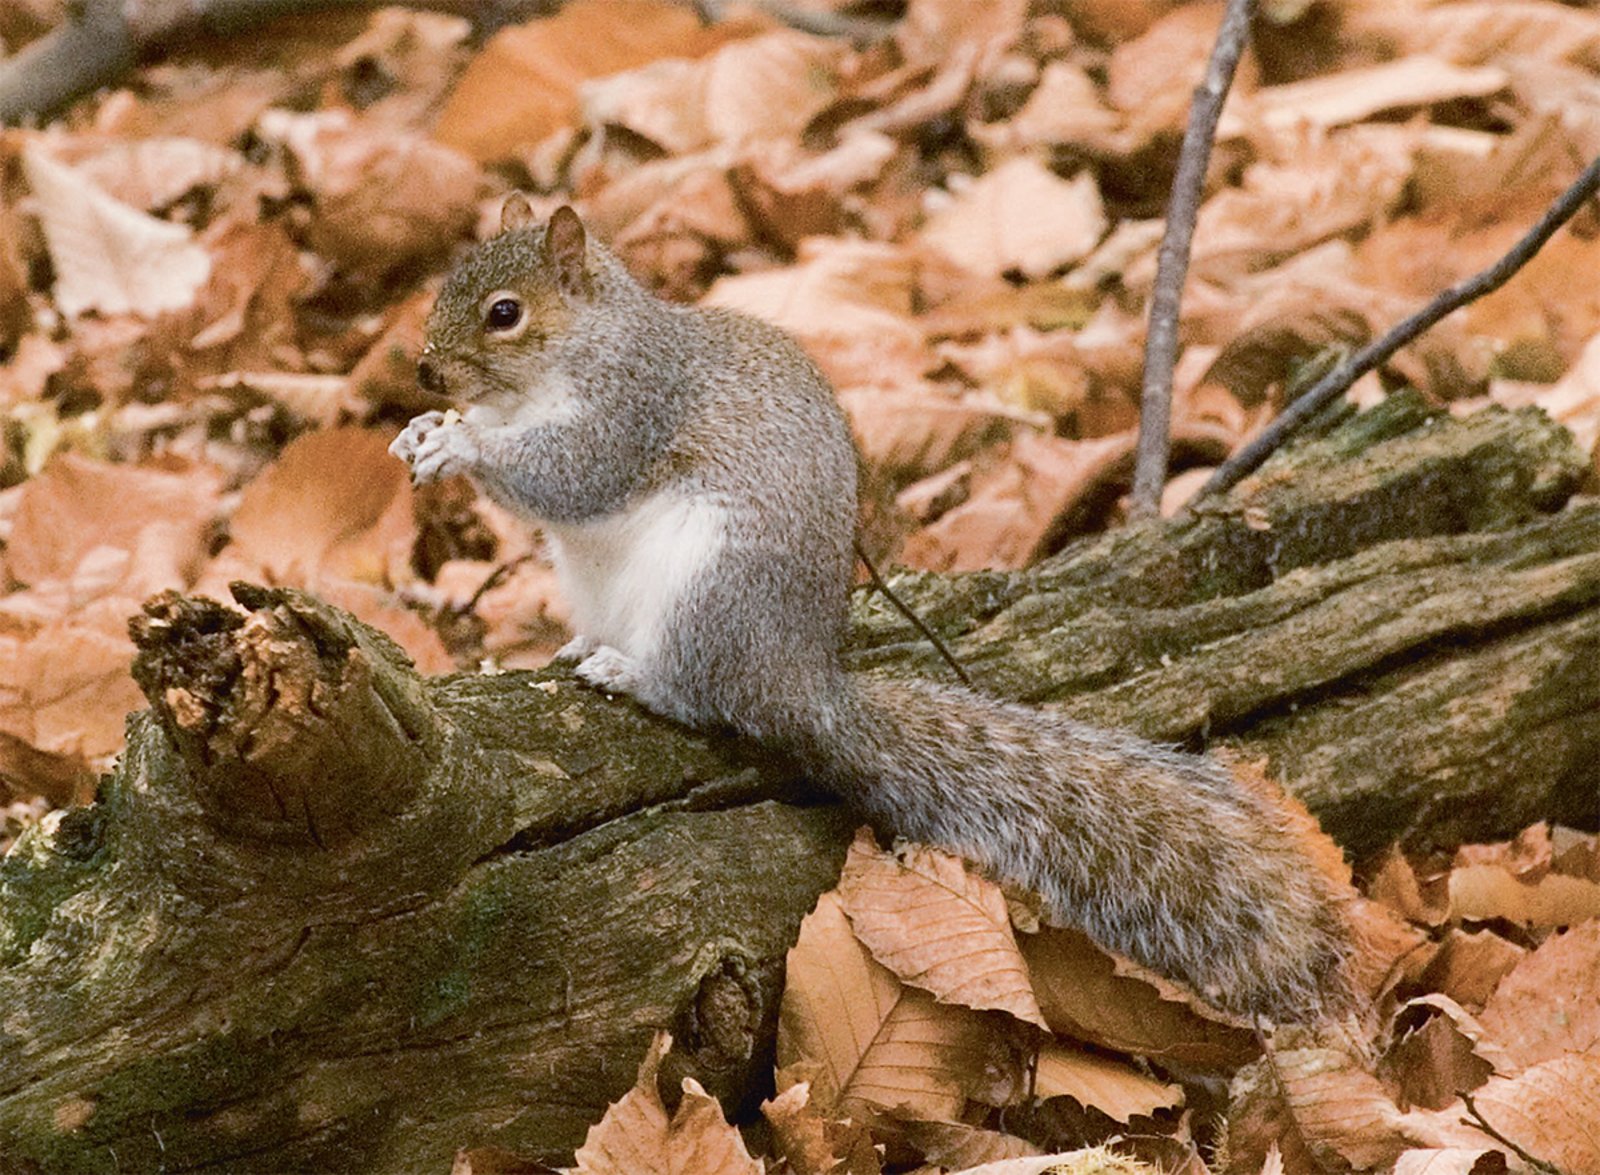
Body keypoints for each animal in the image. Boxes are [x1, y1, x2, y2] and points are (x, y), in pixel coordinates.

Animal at [389, 196, 1354, 1023]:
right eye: (451, 281)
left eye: (505, 313)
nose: (427, 369)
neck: (575, 355)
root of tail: (803, 683)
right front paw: (427, 430)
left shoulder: (631, 408)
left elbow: (569, 474)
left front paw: (462, 444)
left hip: (708, 594)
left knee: (703, 696)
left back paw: (629, 671)